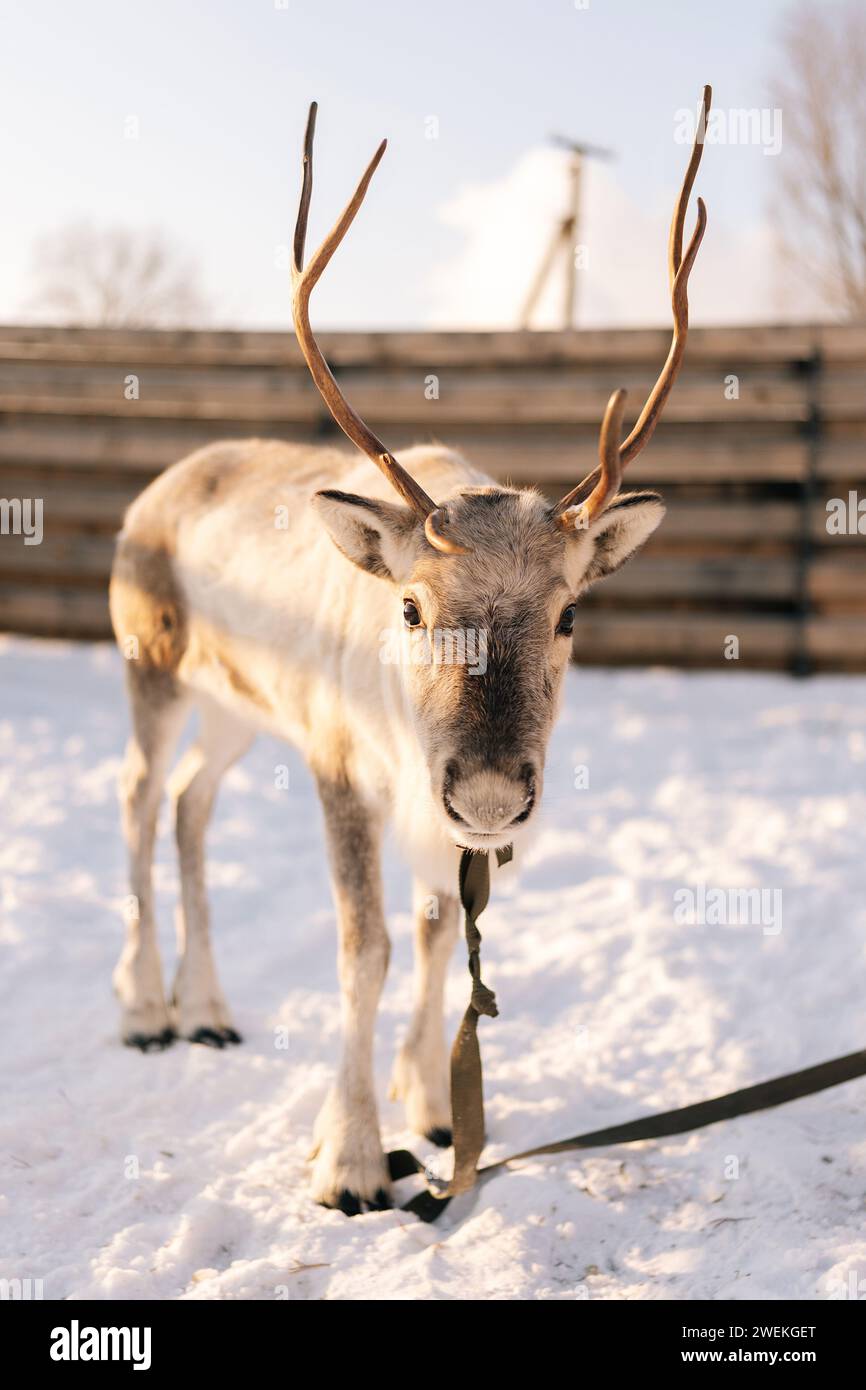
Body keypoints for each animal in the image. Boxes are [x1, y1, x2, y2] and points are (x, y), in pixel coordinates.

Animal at [108, 90, 710, 1214]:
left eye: (568, 615)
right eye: (411, 607)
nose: (491, 792)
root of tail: (157, 488)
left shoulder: (428, 810)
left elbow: (437, 932)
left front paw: (431, 1105)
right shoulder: (340, 763)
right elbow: (367, 946)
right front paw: (347, 1162)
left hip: (238, 707)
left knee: (192, 803)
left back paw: (206, 1005)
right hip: (152, 665)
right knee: (135, 793)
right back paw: (144, 1010)